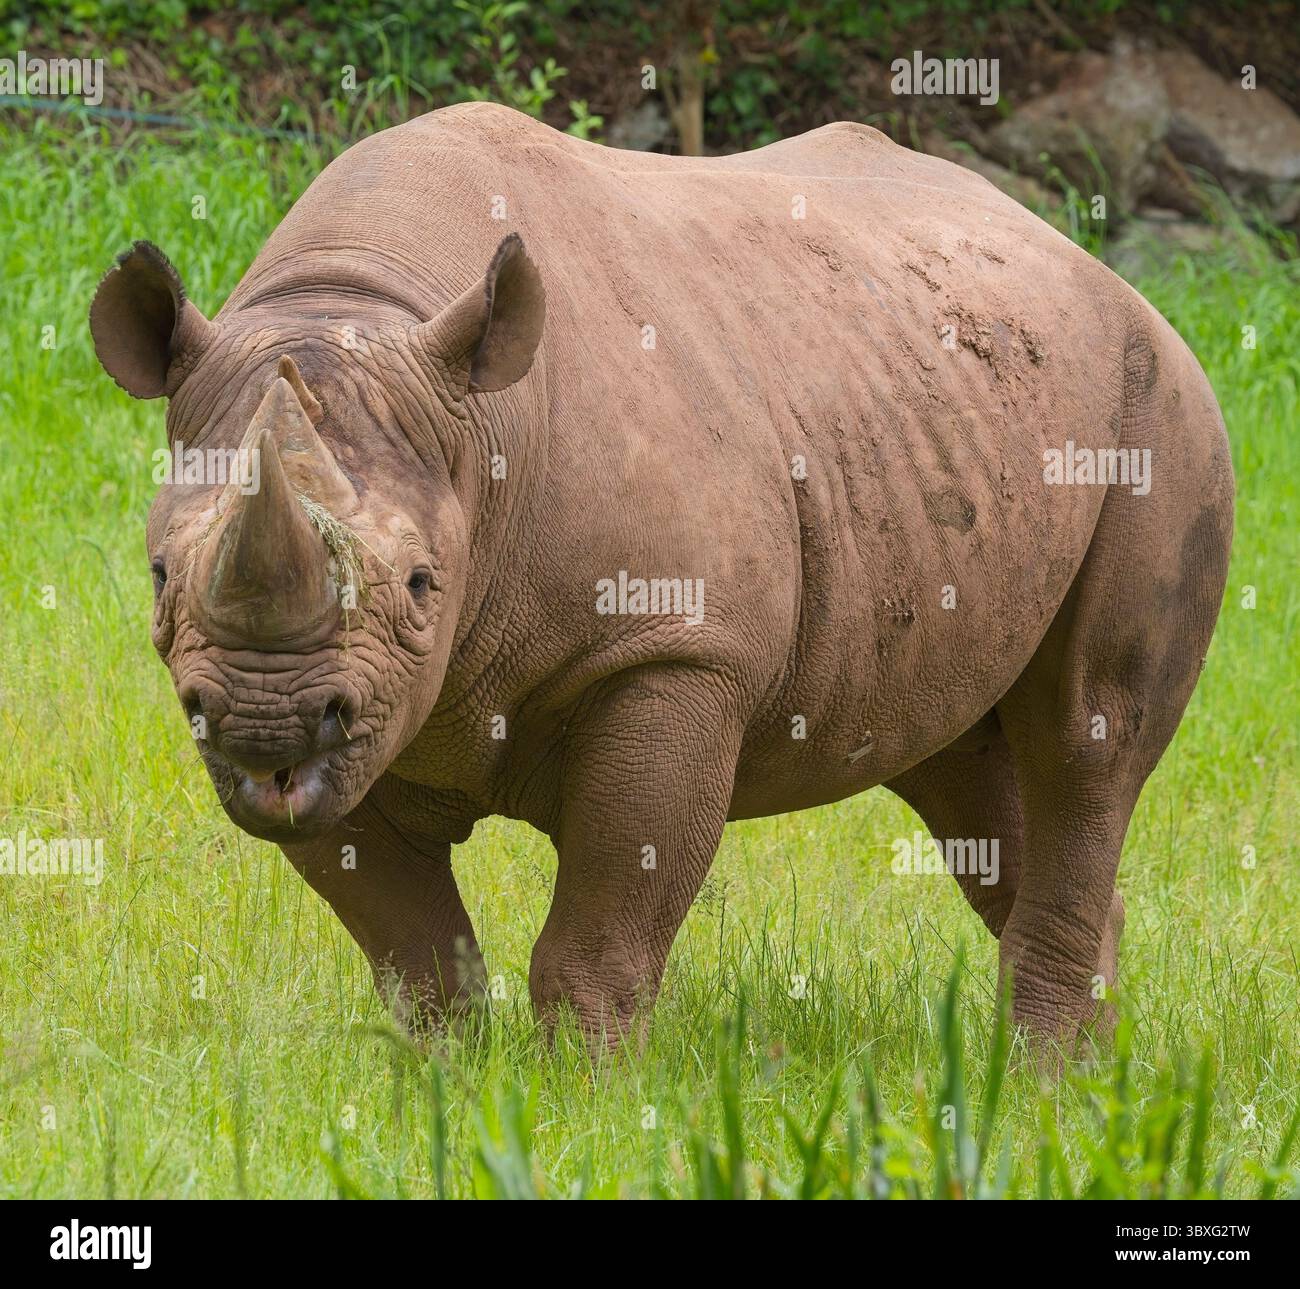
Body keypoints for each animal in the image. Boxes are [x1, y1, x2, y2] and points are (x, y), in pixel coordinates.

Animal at [90, 103, 1233, 1049]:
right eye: (159, 573)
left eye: (420, 583)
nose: (265, 720)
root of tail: (1105, 273)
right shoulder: (355, 722)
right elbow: (414, 956)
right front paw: (444, 1092)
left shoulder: (675, 653)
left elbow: (600, 936)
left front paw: (586, 1103)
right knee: (962, 764)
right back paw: (1079, 1078)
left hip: (1162, 410)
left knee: (1086, 741)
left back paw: (1043, 1088)